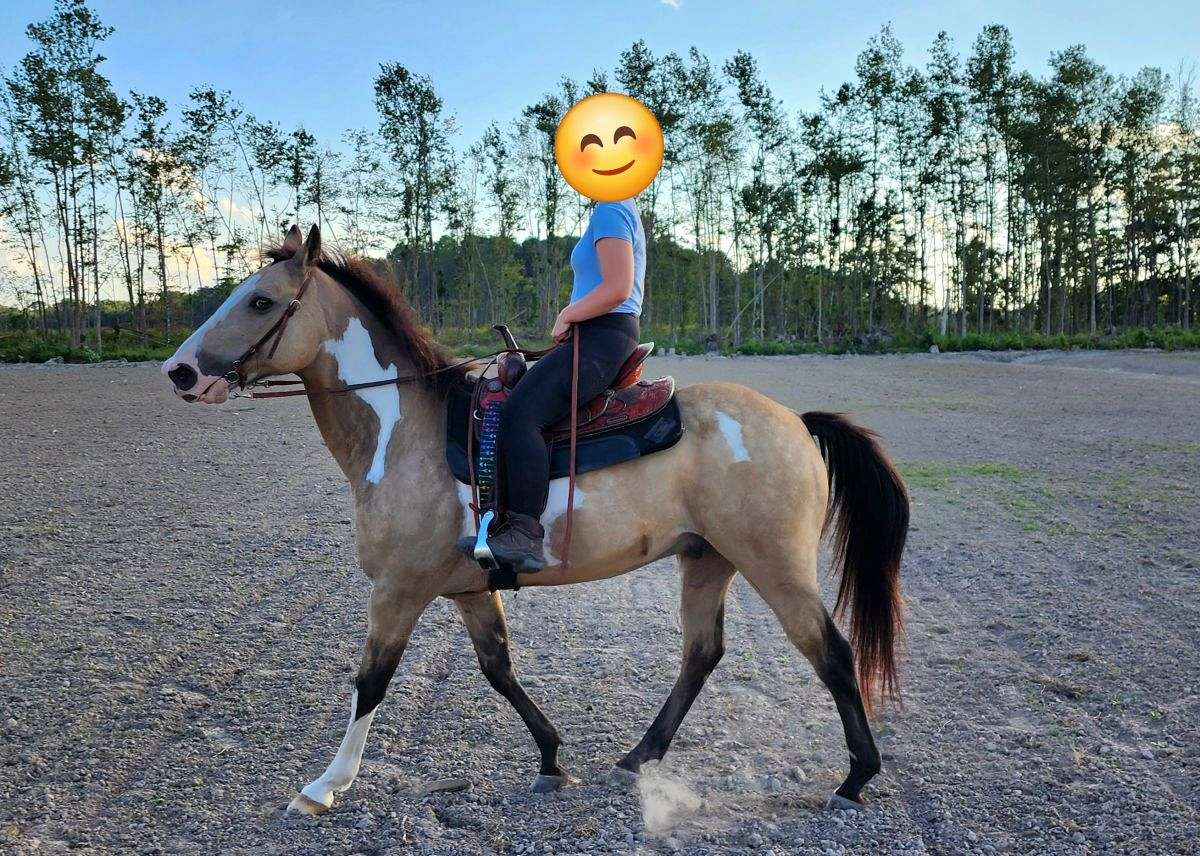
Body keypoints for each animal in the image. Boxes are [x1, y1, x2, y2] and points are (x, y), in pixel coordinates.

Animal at [161, 224, 909, 816]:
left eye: (260, 300)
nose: (179, 371)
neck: (405, 432)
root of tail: (796, 422)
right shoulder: (468, 589)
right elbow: (498, 668)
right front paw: (551, 758)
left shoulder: (398, 589)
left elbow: (371, 680)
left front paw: (325, 785)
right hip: (707, 559)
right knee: (702, 654)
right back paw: (639, 757)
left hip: (773, 564)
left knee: (830, 652)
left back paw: (855, 779)